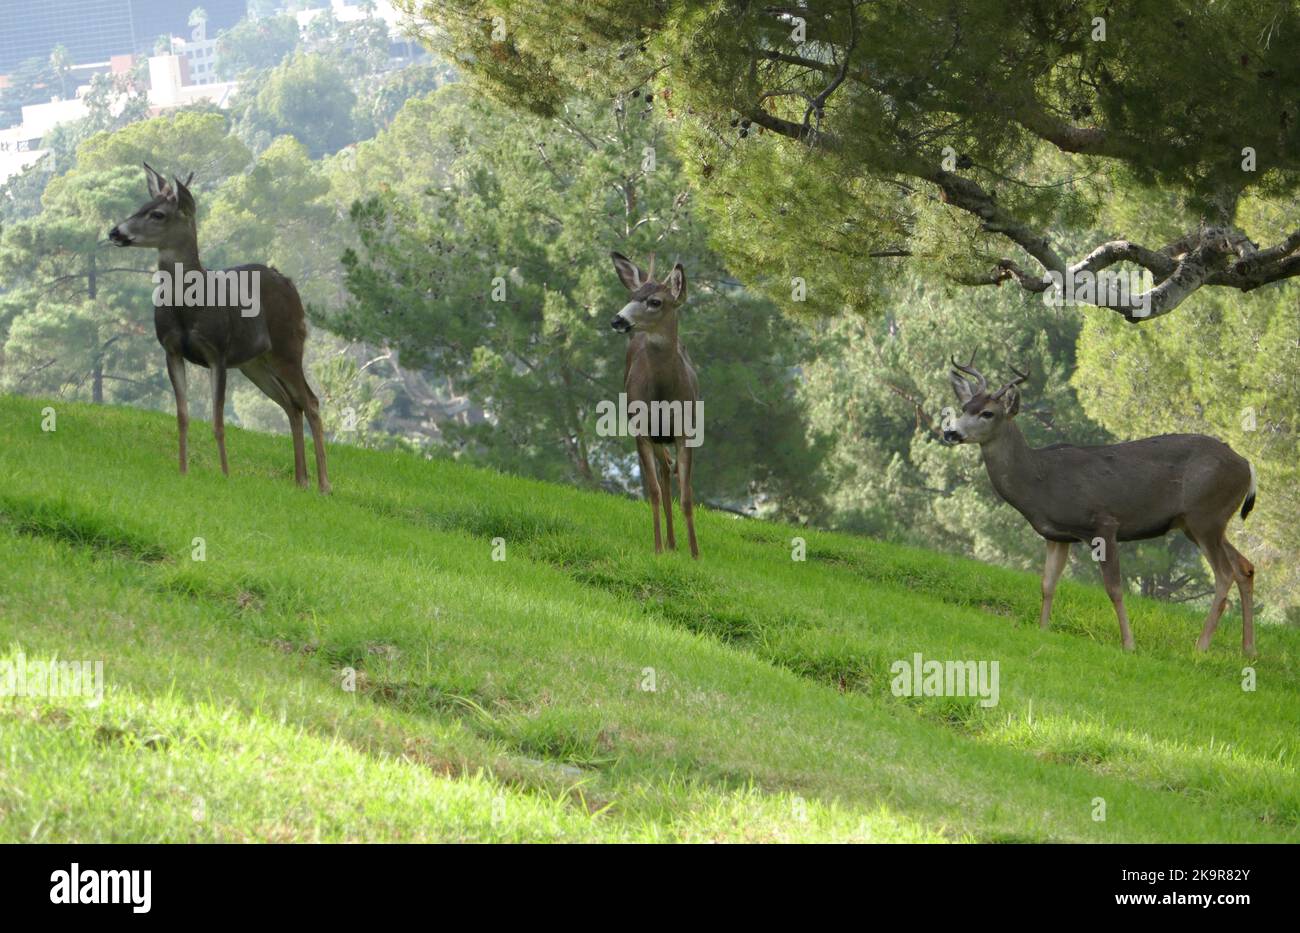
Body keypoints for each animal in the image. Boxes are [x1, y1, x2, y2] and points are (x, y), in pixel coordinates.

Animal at [108, 164, 330, 493]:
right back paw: (301, 480)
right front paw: (183, 471)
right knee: (292, 405)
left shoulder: (218, 352)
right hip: (255, 363)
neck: (188, 306)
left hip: (288, 346)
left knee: (311, 401)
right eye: (141, 205)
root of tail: (289, 283)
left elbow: (218, 420)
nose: (115, 232)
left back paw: (324, 484)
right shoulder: (171, 350)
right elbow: (182, 416)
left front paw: (225, 474)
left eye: (157, 214)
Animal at [609, 252, 700, 558]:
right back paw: (669, 543)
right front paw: (658, 548)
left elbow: (687, 497)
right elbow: (653, 491)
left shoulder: (686, 431)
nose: (617, 319)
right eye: (632, 295)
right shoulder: (641, 431)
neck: (663, 395)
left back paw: (675, 543)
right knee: (663, 473)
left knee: (667, 471)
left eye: (655, 301)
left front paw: (695, 554)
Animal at [942, 355, 1257, 655]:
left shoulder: (1104, 523)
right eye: (964, 407)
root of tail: (1247, 466)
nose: (950, 433)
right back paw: (1247, 650)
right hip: (1200, 523)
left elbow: (1114, 588)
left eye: (988, 413)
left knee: (1225, 574)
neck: (1039, 480)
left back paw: (1200, 647)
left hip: (1206, 516)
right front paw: (1043, 629)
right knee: (1245, 566)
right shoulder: (1057, 535)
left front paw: (1128, 644)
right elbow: (1047, 584)